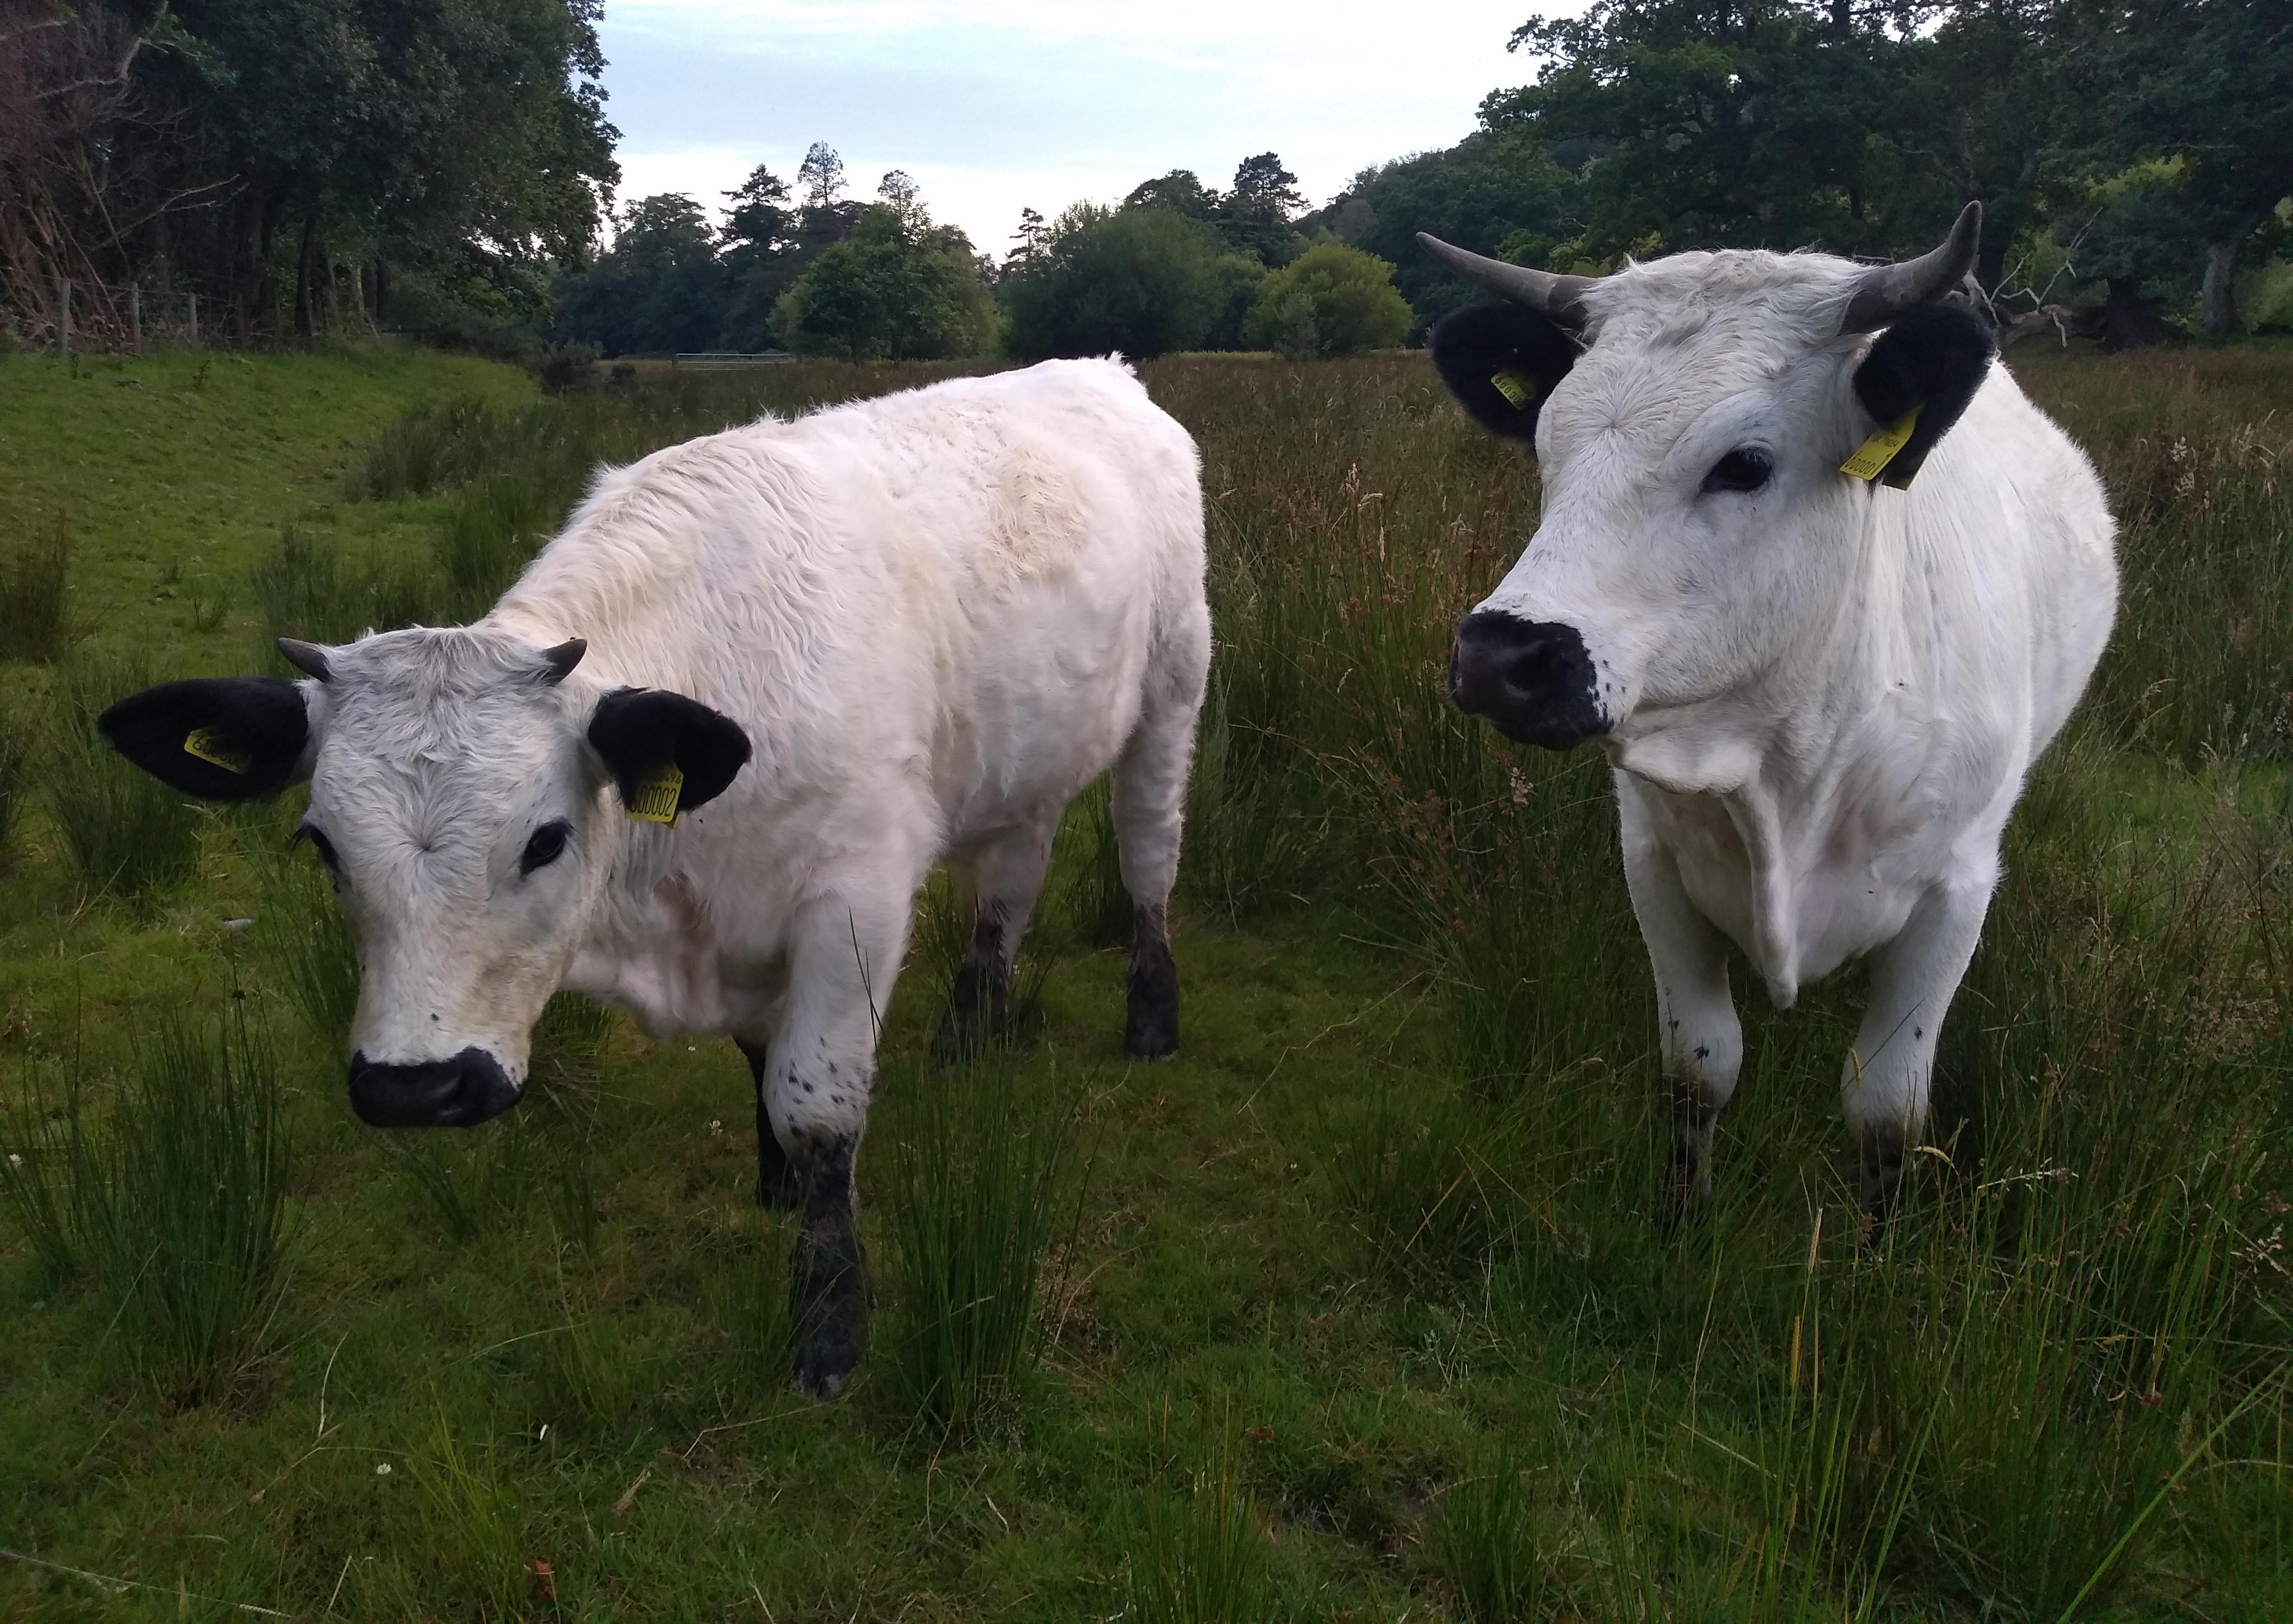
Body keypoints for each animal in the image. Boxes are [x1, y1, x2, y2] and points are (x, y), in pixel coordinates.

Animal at [99, 358, 1211, 1395]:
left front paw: (829, 1324)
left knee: (1148, 856)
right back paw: (970, 1038)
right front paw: (774, 1187)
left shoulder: (854, 895)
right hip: (1027, 761)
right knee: (1008, 888)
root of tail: (1100, 371)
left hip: (1173, 694)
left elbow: (816, 1103)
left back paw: (1153, 1019)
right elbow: (762, 1062)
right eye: (324, 845)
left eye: (546, 839)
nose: (415, 1087)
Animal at [1416, 204, 2117, 1216]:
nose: (1502, 658)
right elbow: (1699, 1067)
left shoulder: (1955, 889)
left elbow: (1886, 1108)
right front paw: (1679, 1220)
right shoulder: (1653, 860)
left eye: (1744, 465)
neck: (1787, 755)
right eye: (1546, 445)